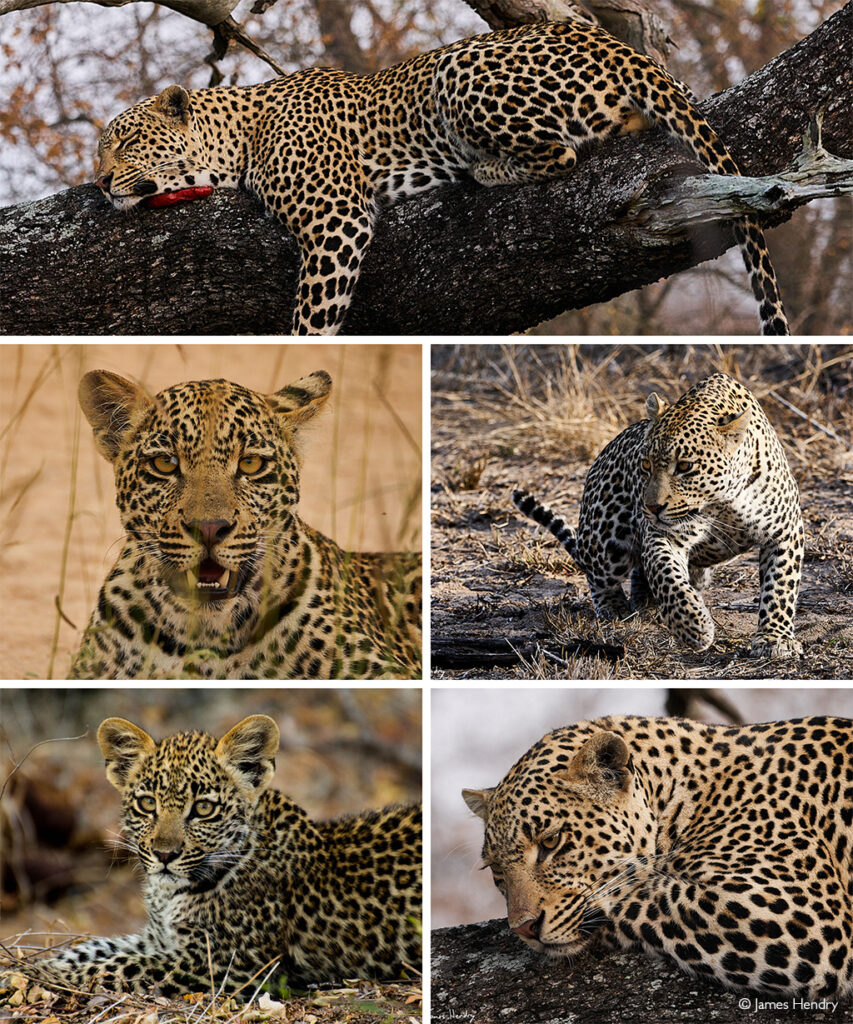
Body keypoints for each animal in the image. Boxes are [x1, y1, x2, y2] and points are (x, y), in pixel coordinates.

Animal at [16, 714, 422, 996]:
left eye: (204, 809)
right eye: (148, 804)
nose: (164, 854)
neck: (169, 894)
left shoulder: (229, 962)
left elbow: (120, 966)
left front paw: (38, 974)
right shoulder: (161, 938)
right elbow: (94, 949)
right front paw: (38, 962)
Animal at [94, 21, 789, 337]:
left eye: (124, 142)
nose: (99, 182)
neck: (238, 137)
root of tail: (610, 42)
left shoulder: (335, 216)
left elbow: (313, 318)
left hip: (458, 70)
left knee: (560, 154)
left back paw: (483, 168)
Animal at [512, 372, 804, 658]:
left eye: (685, 466)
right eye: (645, 464)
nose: (651, 507)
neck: (721, 500)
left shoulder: (785, 531)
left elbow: (780, 586)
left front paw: (774, 638)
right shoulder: (663, 535)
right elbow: (667, 577)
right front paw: (693, 625)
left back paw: (646, 602)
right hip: (607, 537)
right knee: (599, 574)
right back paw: (614, 607)